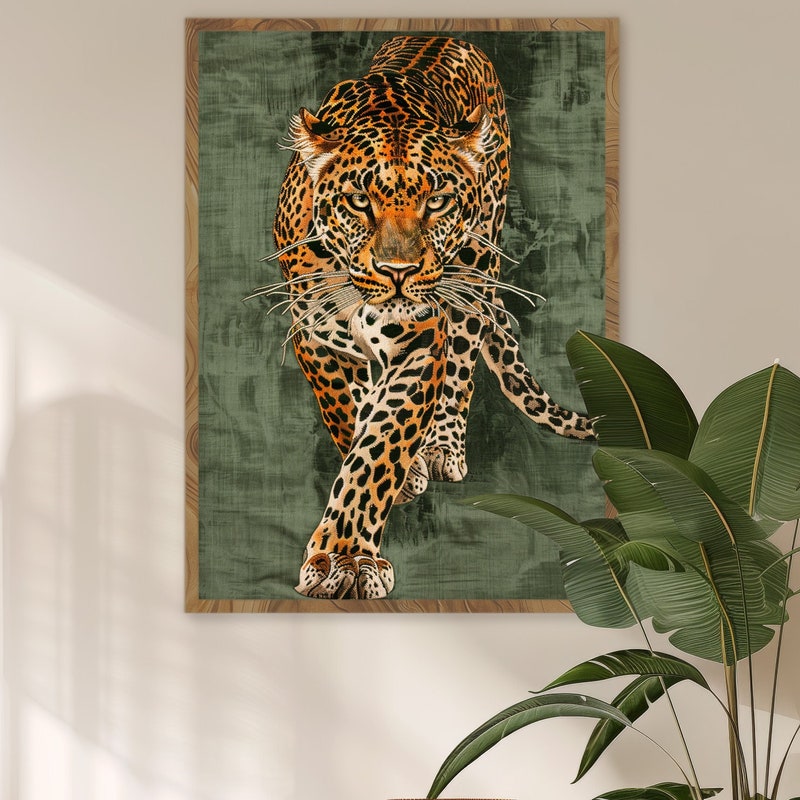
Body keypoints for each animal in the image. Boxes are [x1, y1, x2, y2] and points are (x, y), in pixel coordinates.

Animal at [252, 35, 595, 599]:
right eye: (358, 200)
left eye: (437, 201)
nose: (398, 272)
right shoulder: (315, 335)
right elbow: (349, 415)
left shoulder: (420, 341)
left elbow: (378, 449)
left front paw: (346, 558)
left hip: (473, 276)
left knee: (462, 363)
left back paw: (442, 447)